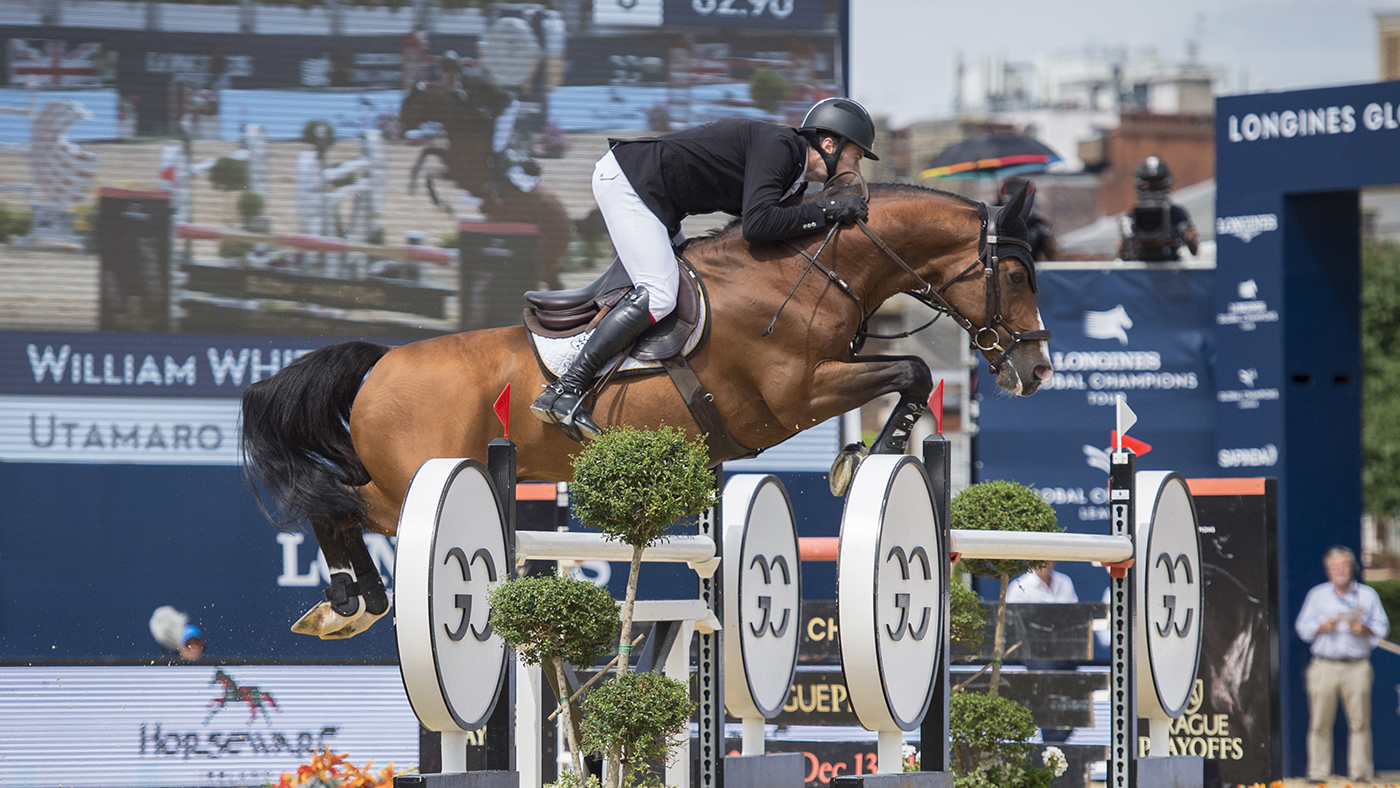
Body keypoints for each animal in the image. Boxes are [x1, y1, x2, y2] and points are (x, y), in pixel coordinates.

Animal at [241, 182, 1054, 639]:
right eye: (1015, 273)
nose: (1037, 369)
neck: (809, 271)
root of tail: (379, 362)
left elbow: (909, 373)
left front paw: (859, 458)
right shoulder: (794, 395)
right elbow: (911, 369)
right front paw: (861, 462)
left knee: (337, 504)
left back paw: (352, 603)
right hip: (418, 480)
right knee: (335, 505)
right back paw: (347, 603)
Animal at [398, 80, 573, 289]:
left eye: (410, 103)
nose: (398, 129)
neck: (464, 126)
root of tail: (569, 222)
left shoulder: (462, 176)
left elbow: (430, 164)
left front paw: (439, 201)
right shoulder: (451, 166)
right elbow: (429, 154)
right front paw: (424, 191)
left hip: (541, 261)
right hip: (547, 265)